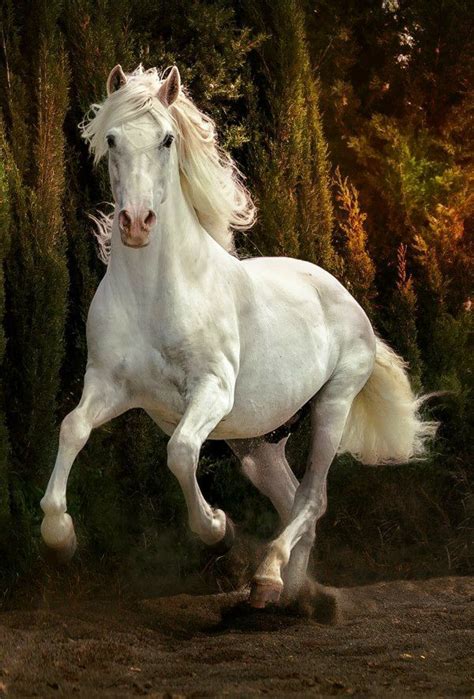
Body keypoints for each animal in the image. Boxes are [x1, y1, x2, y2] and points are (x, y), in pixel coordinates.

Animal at [40, 65, 436, 608]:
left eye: (167, 139)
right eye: (112, 139)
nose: (137, 224)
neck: (153, 295)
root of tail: (346, 298)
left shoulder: (212, 390)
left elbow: (181, 452)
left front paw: (216, 528)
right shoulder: (110, 386)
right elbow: (72, 428)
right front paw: (59, 537)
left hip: (333, 405)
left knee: (312, 499)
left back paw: (269, 577)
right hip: (258, 444)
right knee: (293, 500)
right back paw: (286, 594)